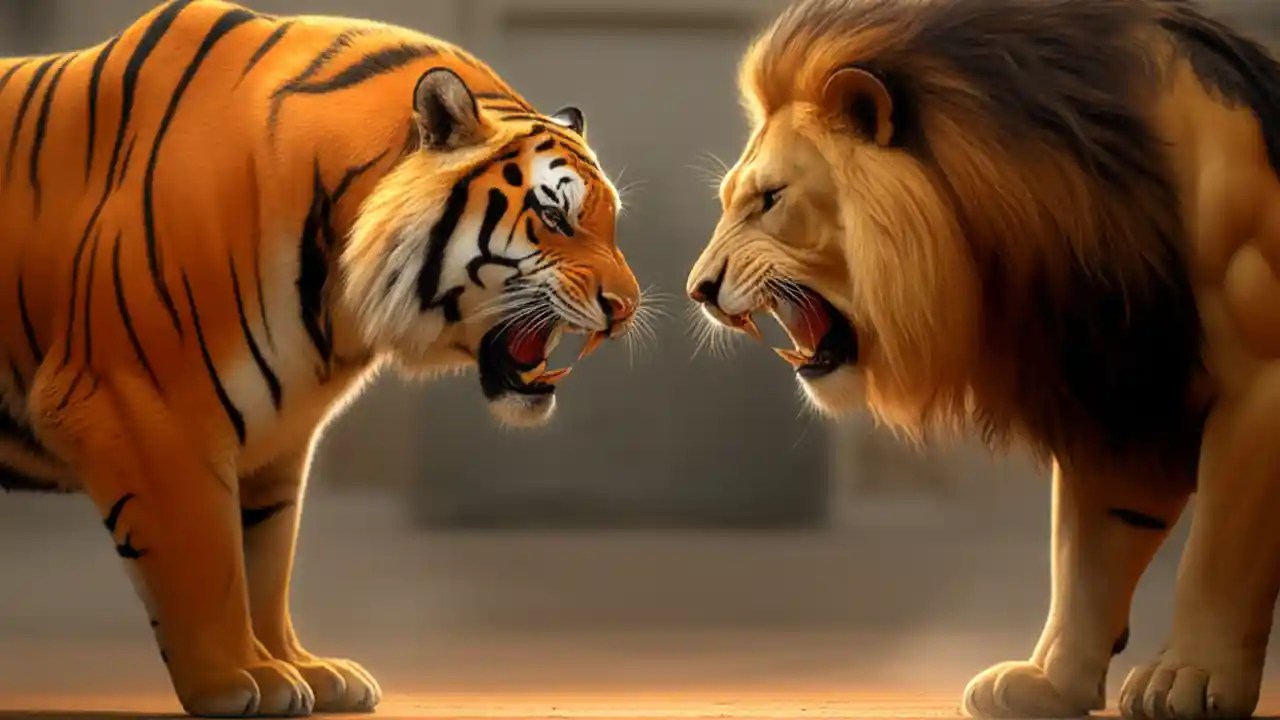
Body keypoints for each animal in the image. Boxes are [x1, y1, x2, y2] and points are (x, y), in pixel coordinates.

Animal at [0, 0, 641, 716]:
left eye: (611, 221)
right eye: (555, 217)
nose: (628, 306)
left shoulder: (277, 437)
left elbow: (264, 561)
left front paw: (297, 669)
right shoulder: (138, 405)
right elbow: (205, 561)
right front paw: (232, 680)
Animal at [686, 0, 1280, 718]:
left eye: (771, 199)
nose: (699, 290)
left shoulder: (1258, 380)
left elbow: (1219, 553)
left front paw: (1187, 676)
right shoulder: (1109, 382)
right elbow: (1090, 556)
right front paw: (1049, 683)